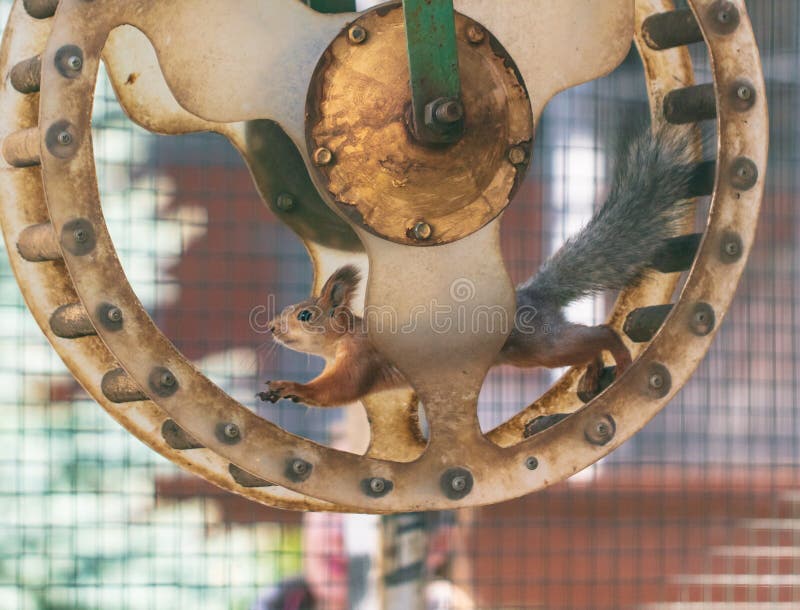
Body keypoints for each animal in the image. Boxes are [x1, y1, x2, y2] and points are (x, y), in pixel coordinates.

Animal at [258, 124, 699, 408]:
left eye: (305, 314)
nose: (272, 328)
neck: (344, 339)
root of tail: (532, 296)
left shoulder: (361, 359)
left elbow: (338, 391)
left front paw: (290, 387)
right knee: (583, 344)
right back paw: (591, 375)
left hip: (539, 345)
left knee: (599, 334)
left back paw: (619, 359)